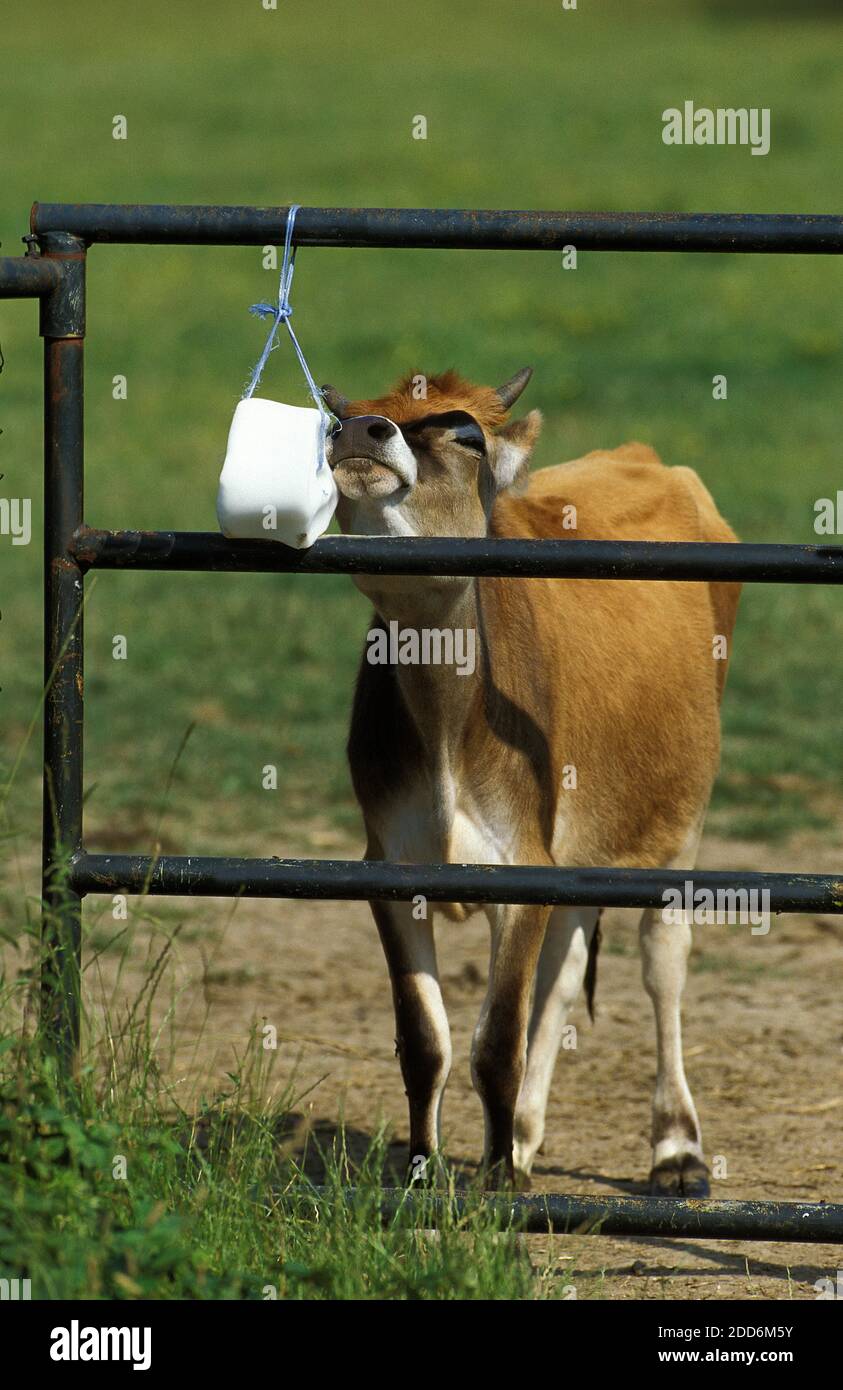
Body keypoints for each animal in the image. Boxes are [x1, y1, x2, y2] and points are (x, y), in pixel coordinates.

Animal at [323, 367, 740, 1192]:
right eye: (341, 420)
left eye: (464, 434)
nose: (360, 434)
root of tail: (640, 457)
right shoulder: (388, 866)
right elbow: (425, 1042)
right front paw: (423, 1172)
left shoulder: (518, 864)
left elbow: (494, 1042)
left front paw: (496, 1186)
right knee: (566, 963)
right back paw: (518, 1135)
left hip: (678, 819)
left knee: (663, 964)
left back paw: (675, 1149)